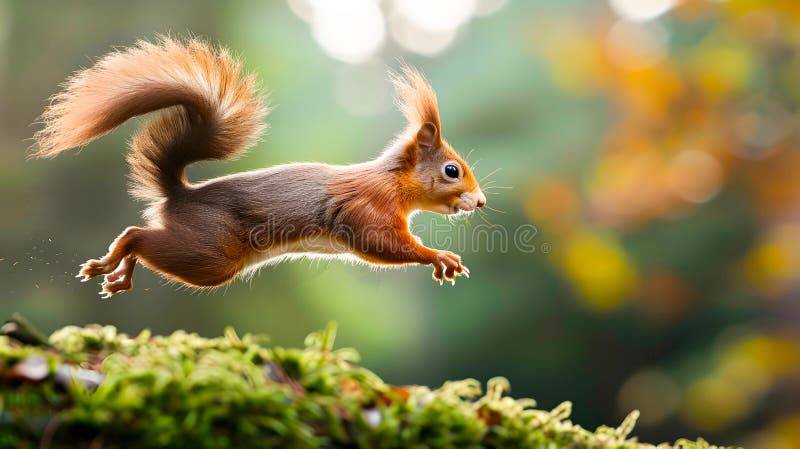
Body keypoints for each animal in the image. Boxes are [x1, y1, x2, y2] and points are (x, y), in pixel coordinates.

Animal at [32, 37, 486, 298]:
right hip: (209, 253)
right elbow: (381, 244)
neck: (392, 182)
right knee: (137, 235)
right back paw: (112, 262)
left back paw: (119, 277)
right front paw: (439, 256)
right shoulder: (366, 208)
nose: (480, 201)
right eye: (451, 171)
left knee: (142, 241)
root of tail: (179, 194)